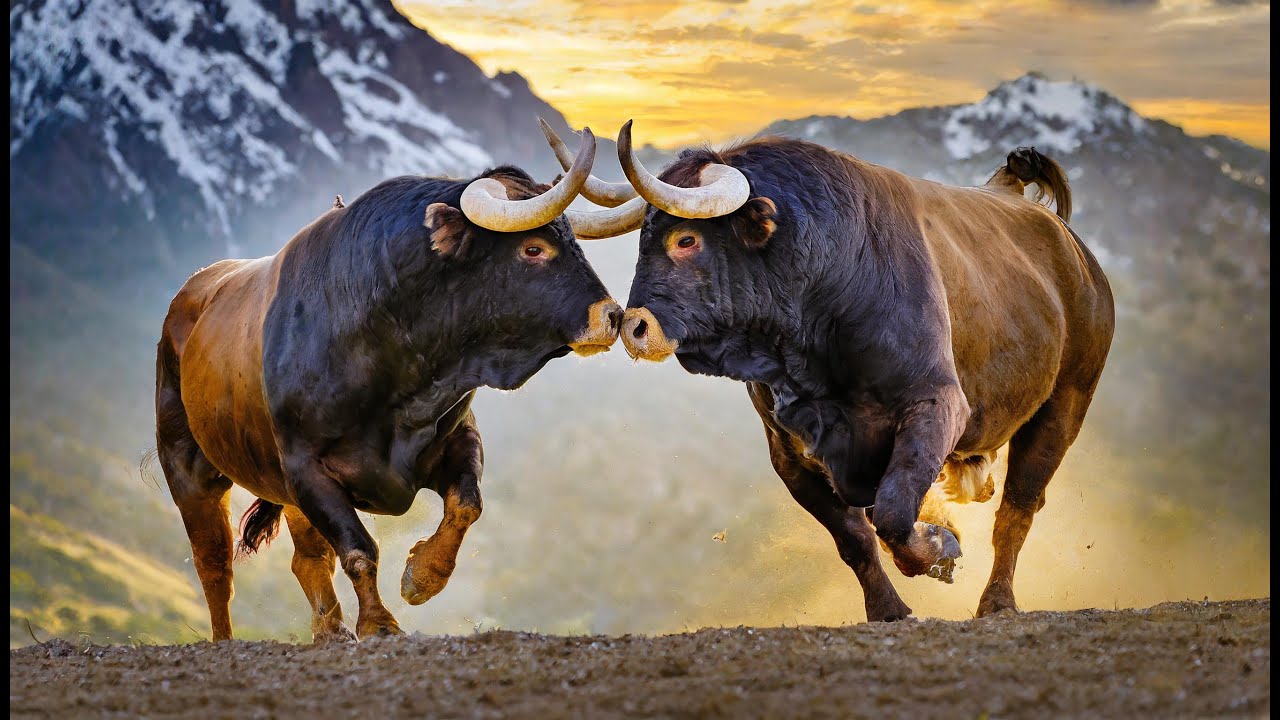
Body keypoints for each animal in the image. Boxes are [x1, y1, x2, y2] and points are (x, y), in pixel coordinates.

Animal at [156, 129, 623, 642]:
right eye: (533, 248)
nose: (612, 316)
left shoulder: (458, 436)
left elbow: (467, 504)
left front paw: (422, 576)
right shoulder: (306, 469)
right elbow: (359, 549)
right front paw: (379, 622)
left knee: (307, 560)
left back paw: (330, 630)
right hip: (189, 469)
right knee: (215, 565)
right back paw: (226, 638)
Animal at [543, 122, 1114, 621]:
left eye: (686, 239)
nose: (633, 326)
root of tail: (1074, 254)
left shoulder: (936, 405)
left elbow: (893, 509)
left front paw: (939, 545)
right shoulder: (790, 451)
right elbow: (856, 536)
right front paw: (889, 608)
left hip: (1065, 405)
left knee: (1017, 510)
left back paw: (997, 602)